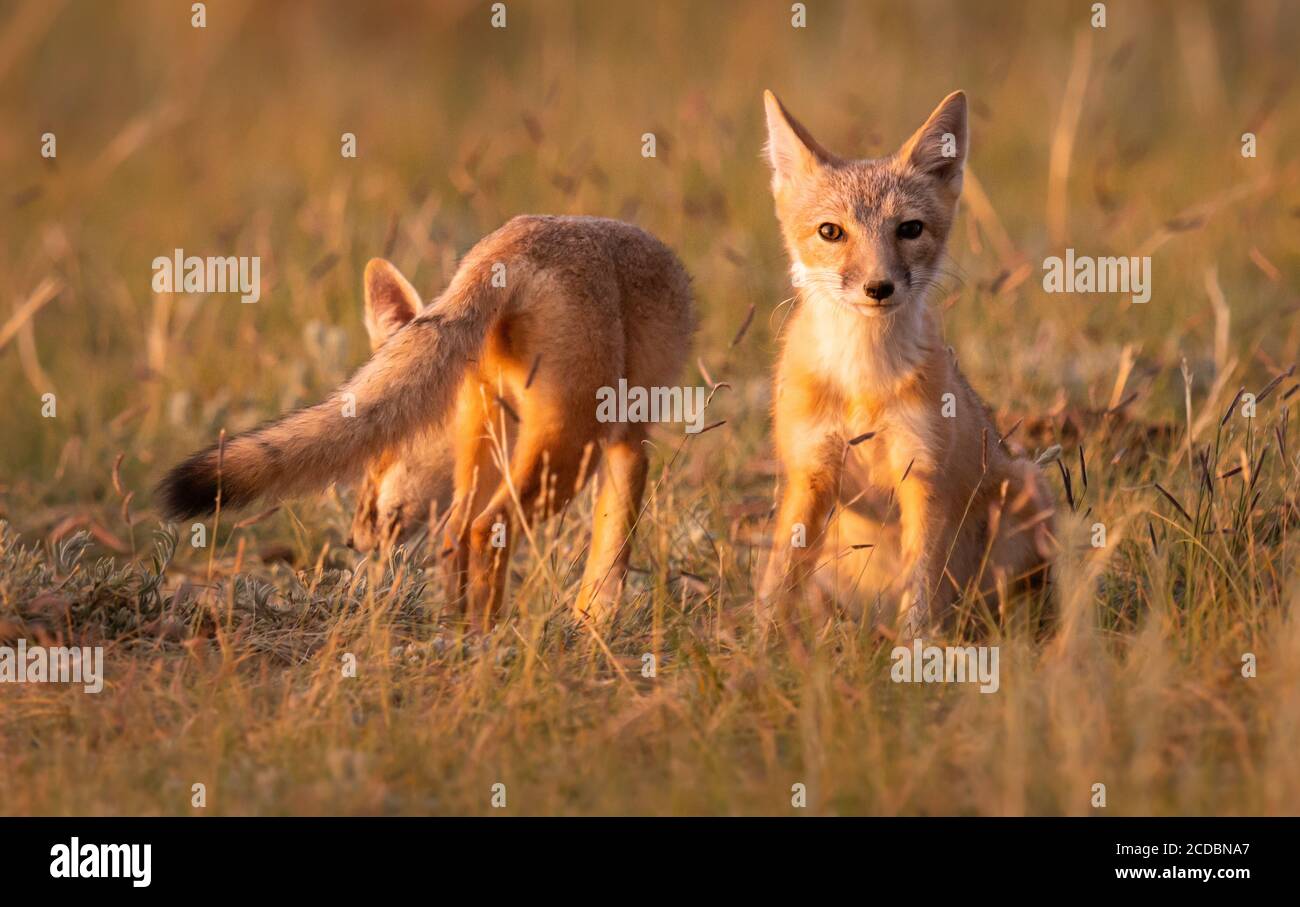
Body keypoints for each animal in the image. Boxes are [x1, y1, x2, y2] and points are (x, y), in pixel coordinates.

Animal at [158, 215, 695, 626]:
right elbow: (612, 552)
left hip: (497, 442)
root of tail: (509, 239)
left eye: (381, 454)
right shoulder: (629, 443)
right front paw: (595, 630)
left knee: (456, 534)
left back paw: (461, 635)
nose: (353, 539)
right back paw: (487, 639)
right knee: (486, 529)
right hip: (569, 444)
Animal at [756, 90, 1055, 638]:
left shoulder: (924, 477)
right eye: (831, 232)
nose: (879, 287)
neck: (862, 380)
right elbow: (777, 581)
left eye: (910, 229)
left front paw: (916, 654)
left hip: (1026, 490)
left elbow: (920, 593)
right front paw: (757, 645)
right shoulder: (811, 473)